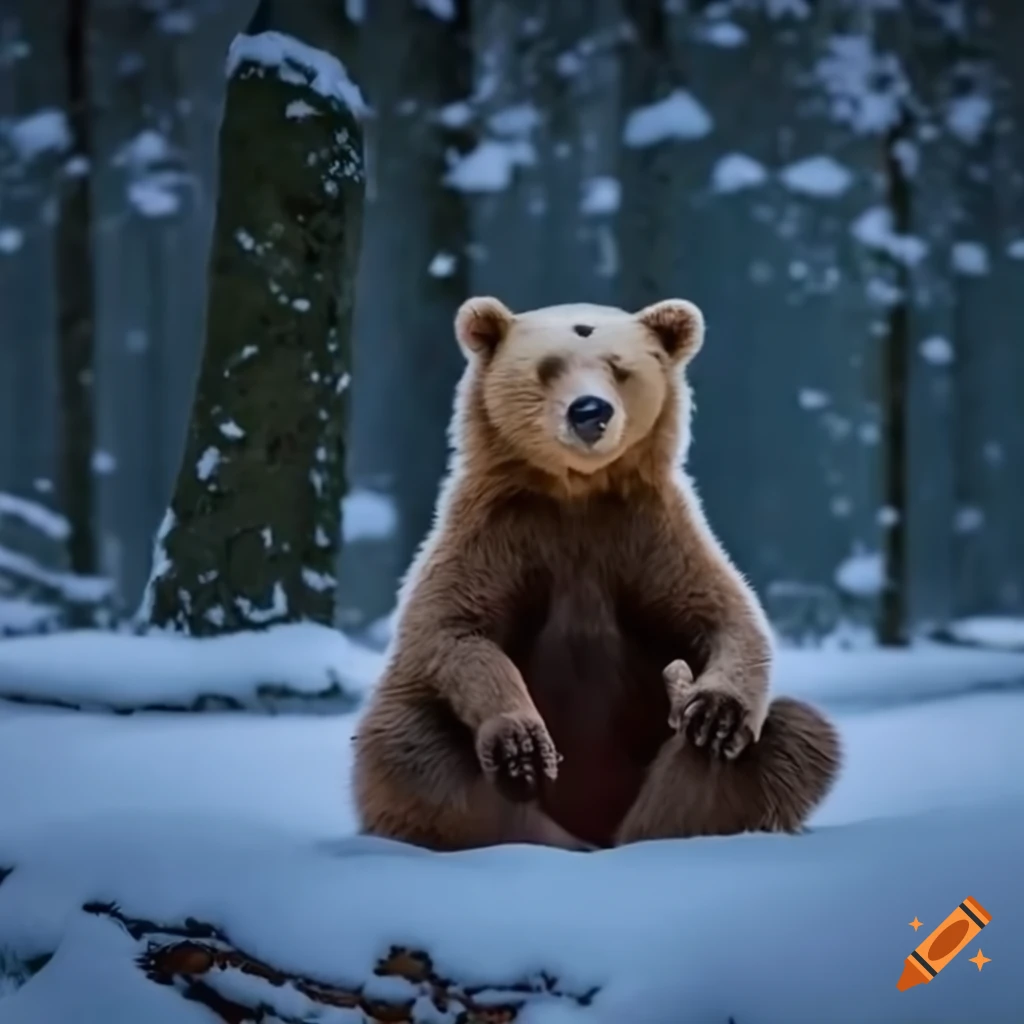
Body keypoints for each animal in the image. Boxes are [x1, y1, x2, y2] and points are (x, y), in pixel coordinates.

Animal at [352, 295, 841, 852]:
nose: (590, 411)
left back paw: (658, 825)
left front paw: (717, 714)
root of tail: (594, 824)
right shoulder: (499, 536)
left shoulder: (649, 535)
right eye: (547, 368)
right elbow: (456, 630)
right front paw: (522, 747)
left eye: (619, 368)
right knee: (409, 753)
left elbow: (722, 615)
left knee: (792, 738)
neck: (577, 493)